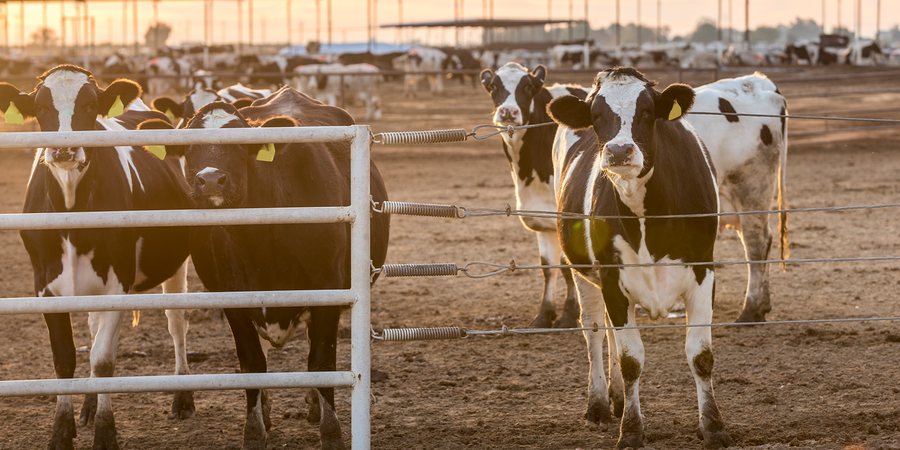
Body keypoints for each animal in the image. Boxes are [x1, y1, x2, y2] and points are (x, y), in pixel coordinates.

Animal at [0, 64, 195, 450]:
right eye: (40, 107)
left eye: (90, 105)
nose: (64, 150)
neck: (71, 209)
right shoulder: (44, 286)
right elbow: (65, 359)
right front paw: (62, 433)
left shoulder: (118, 283)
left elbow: (103, 361)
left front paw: (106, 434)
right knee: (92, 331)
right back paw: (88, 407)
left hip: (176, 263)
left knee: (176, 322)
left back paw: (182, 397)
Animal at [139, 86, 390, 449]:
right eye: (188, 145)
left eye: (241, 143)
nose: (210, 180)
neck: (261, 239)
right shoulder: (231, 299)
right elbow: (252, 364)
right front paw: (255, 430)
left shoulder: (328, 291)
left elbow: (322, 360)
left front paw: (331, 432)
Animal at [479, 63, 586, 328]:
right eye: (493, 86)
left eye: (527, 86)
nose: (508, 111)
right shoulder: (542, 216)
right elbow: (548, 267)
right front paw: (544, 314)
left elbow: (568, 266)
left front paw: (569, 314)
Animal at [547, 67, 732, 448]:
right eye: (596, 116)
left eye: (647, 112)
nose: (619, 150)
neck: (649, 217)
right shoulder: (612, 279)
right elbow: (630, 358)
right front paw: (631, 430)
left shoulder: (704, 271)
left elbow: (701, 355)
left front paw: (713, 426)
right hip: (584, 273)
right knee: (595, 330)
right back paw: (600, 406)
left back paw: (617, 401)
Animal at [687, 73, 788, 323]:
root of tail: (756, 83)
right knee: (766, 239)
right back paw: (763, 305)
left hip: (751, 191)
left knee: (756, 246)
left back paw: (749, 310)